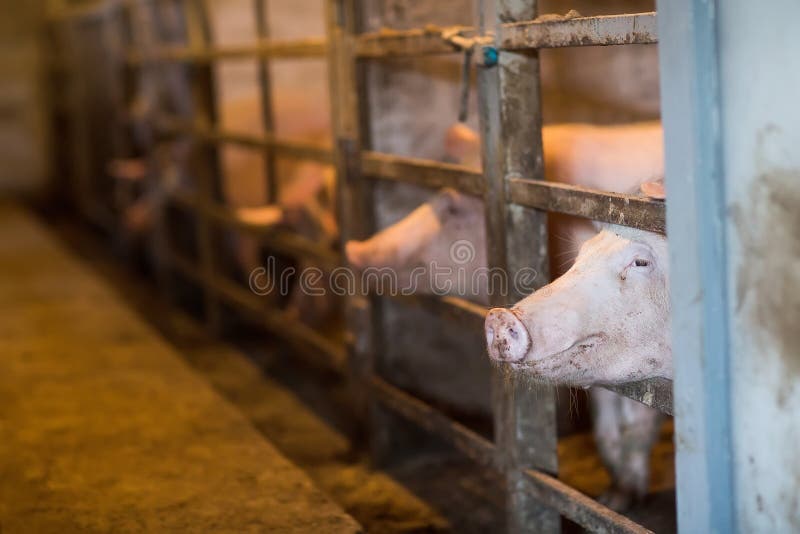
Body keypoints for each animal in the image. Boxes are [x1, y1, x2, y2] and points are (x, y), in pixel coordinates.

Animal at [345, 122, 666, 510]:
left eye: (451, 206)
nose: (353, 249)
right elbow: (605, 421)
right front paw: (610, 498)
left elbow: (639, 418)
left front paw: (626, 498)